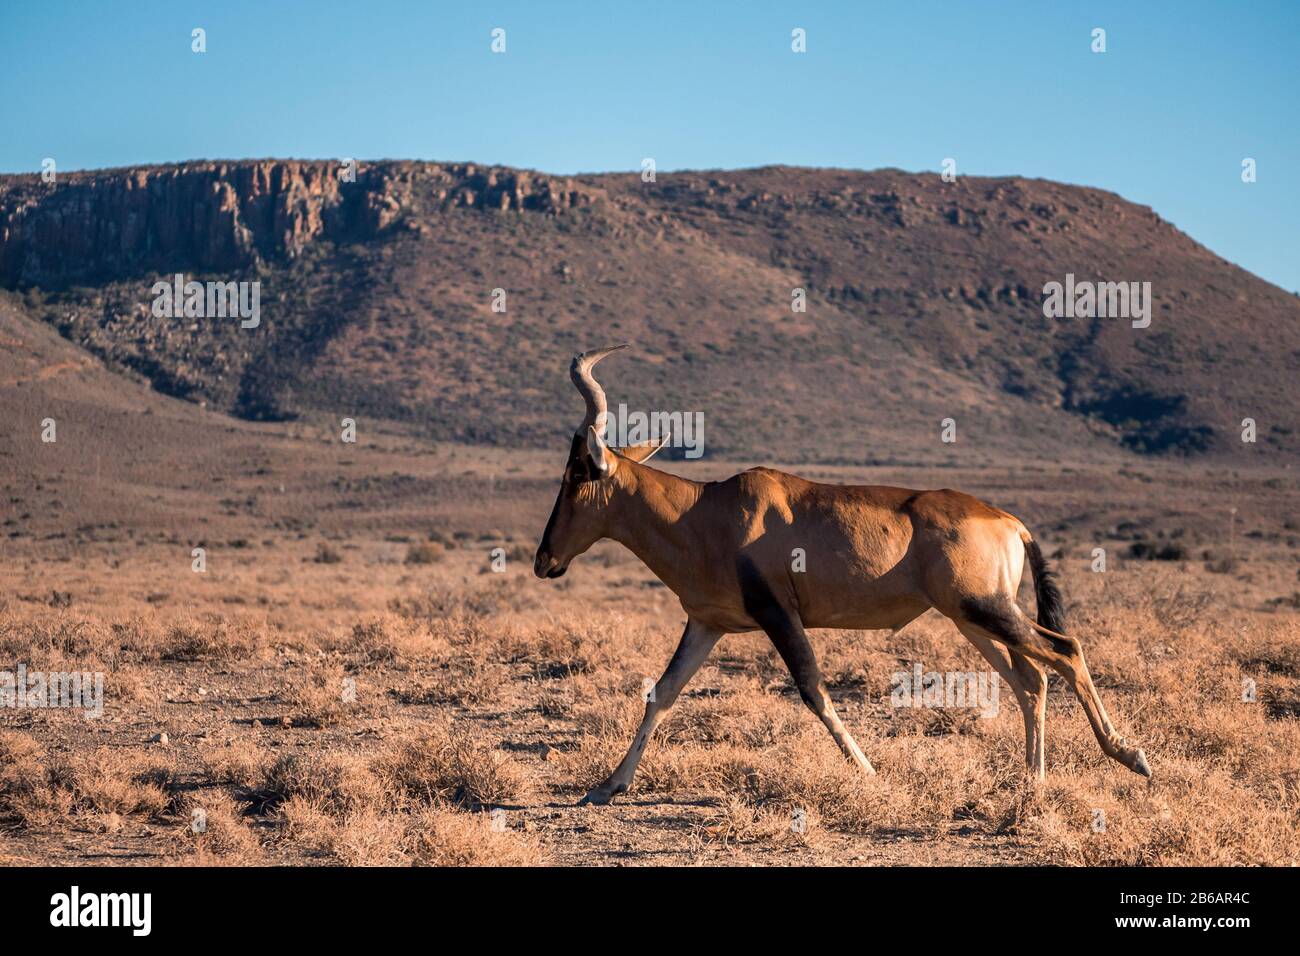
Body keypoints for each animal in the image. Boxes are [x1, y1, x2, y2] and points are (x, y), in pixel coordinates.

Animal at [535, 346, 1151, 806]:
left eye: (576, 473)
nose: (545, 561)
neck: (708, 509)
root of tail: (1008, 521)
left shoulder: (779, 615)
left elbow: (814, 690)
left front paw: (868, 771)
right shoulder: (708, 624)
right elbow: (661, 694)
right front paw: (606, 787)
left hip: (985, 609)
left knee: (1066, 650)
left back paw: (1130, 756)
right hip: (972, 620)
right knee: (1032, 679)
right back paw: (1032, 781)